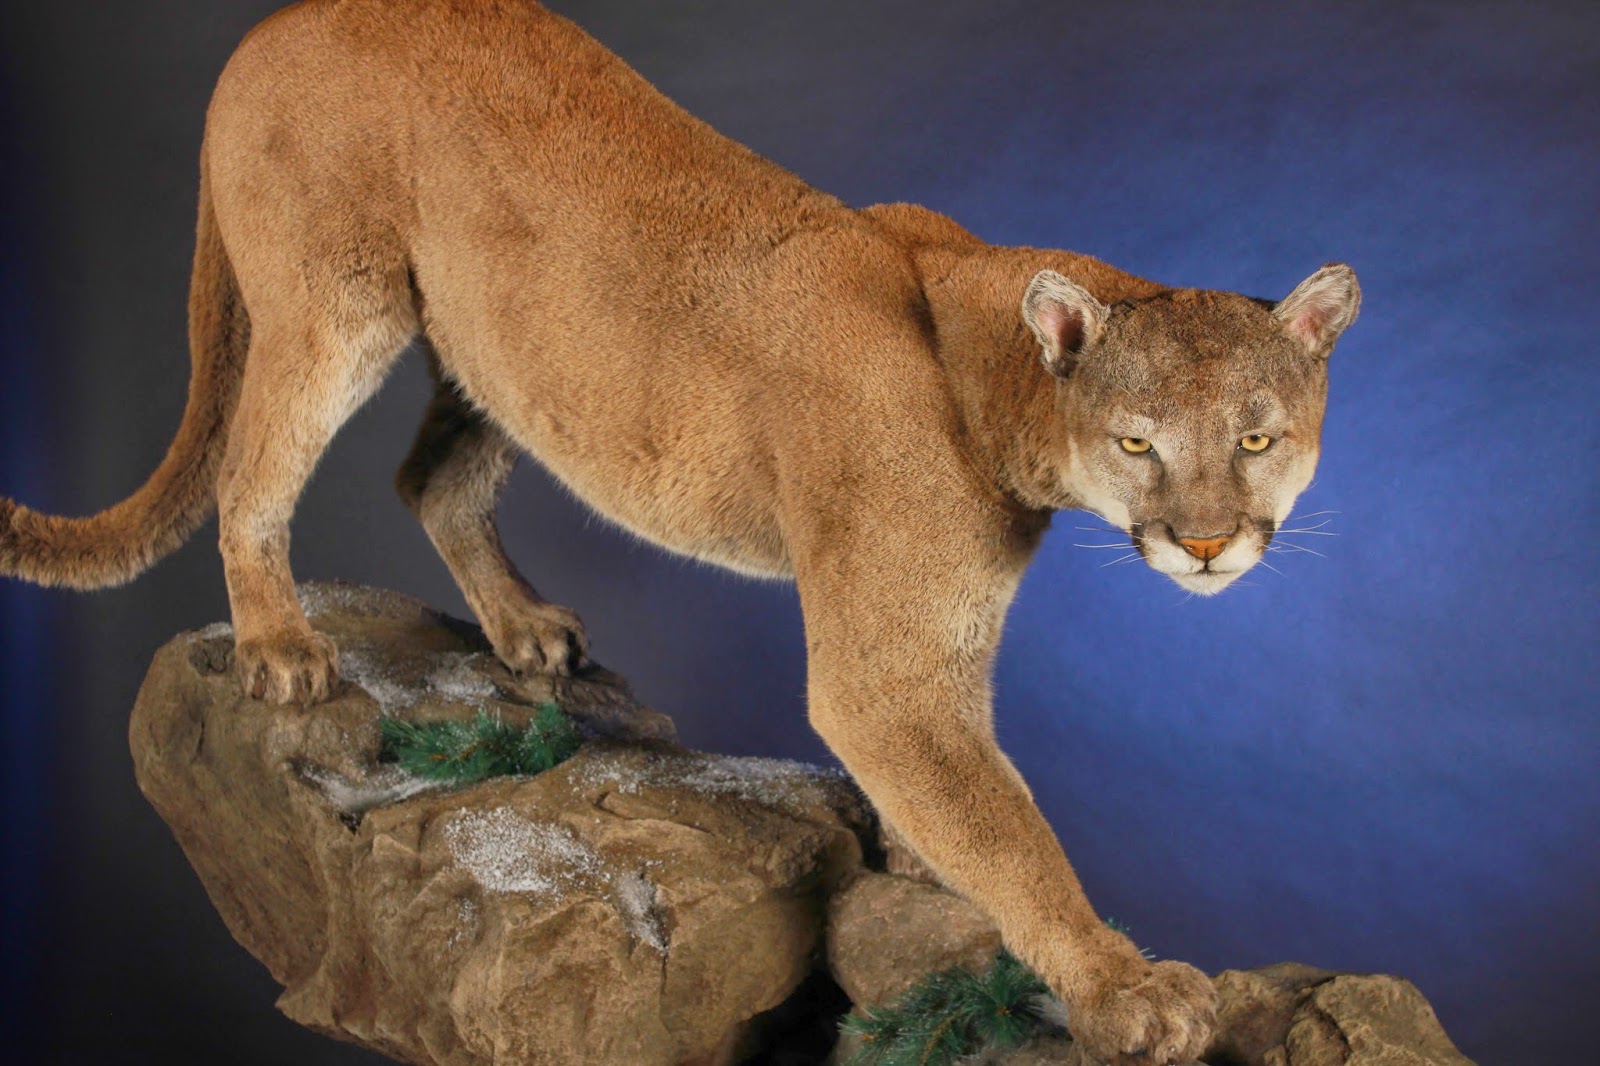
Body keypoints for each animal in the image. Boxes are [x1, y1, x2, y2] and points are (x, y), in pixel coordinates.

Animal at [0, 2, 1360, 1062]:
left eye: (1255, 438)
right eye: (1138, 443)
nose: (1204, 543)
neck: (995, 374)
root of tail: (279, 20)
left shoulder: (943, 647)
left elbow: (970, 793)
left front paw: (928, 872)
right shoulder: (886, 668)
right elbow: (1009, 827)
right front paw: (1124, 987)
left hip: (503, 354)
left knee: (429, 479)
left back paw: (524, 632)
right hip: (334, 300)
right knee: (249, 468)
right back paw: (280, 644)